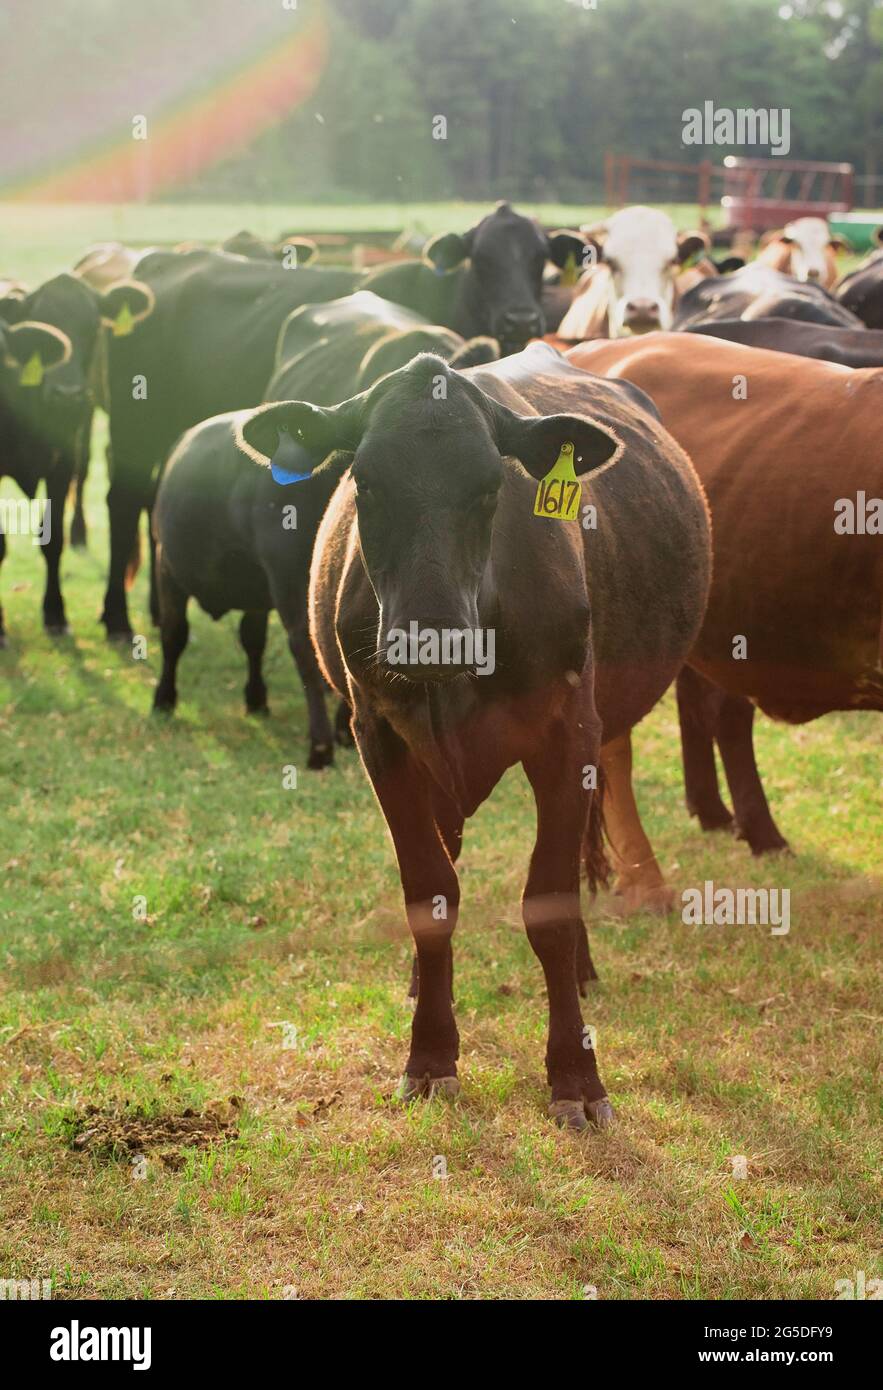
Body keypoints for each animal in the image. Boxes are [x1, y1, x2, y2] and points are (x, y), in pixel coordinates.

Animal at [151, 292, 498, 768]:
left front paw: (341, 729)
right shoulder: (285, 571)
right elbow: (306, 644)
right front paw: (320, 741)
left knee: (250, 636)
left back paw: (256, 698)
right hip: (168, 566)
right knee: (174, 632)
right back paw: (164, 699)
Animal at [234, 342, 711, 1129]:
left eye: (492, 487)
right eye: (364, 481)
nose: (429, 639)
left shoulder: (570, 733)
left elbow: (549, 904)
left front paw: (575, 1075)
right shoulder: (378, 735)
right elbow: (428, 895)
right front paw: (430, 1056)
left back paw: (582, 973)